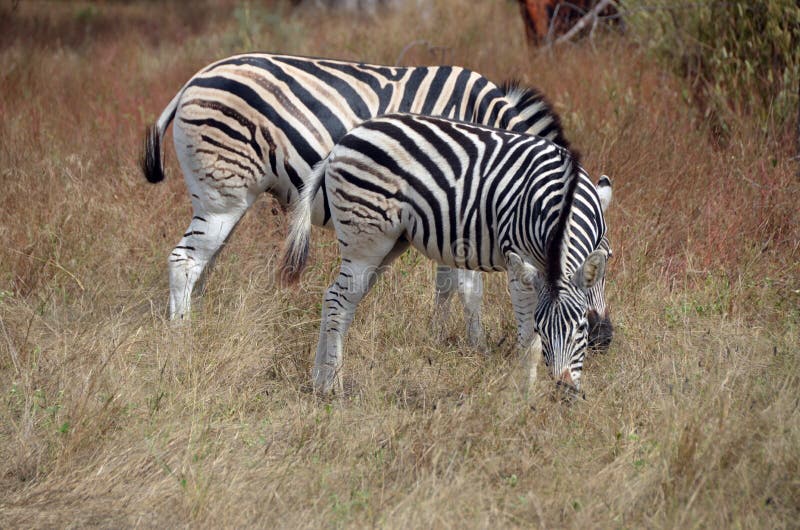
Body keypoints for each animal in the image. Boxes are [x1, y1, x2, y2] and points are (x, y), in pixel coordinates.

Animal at [140, 52, 612, 349]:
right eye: (597, 264)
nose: (604, 338)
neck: (493, 139)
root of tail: (192, 81)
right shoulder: (461, 200)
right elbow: (467, 286)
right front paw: (475, 346)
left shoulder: (453, 210)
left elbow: (447, 283)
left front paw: (438, 337)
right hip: (223, 196)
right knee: (184, 260)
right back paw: (182, 338)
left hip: (226, 199)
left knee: (201, 265)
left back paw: (198, 327)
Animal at [281, 113, 611, 395]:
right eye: (545, 328)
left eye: (581, 328)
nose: (565, 392)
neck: (563, 203)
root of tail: (342, 141)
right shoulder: (520, 262)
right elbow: (527, 335)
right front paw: (524, 396)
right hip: (366, 238)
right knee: (338, 302)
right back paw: (332, 385)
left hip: (388, 244)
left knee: (337, 299)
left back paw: (319, 379)